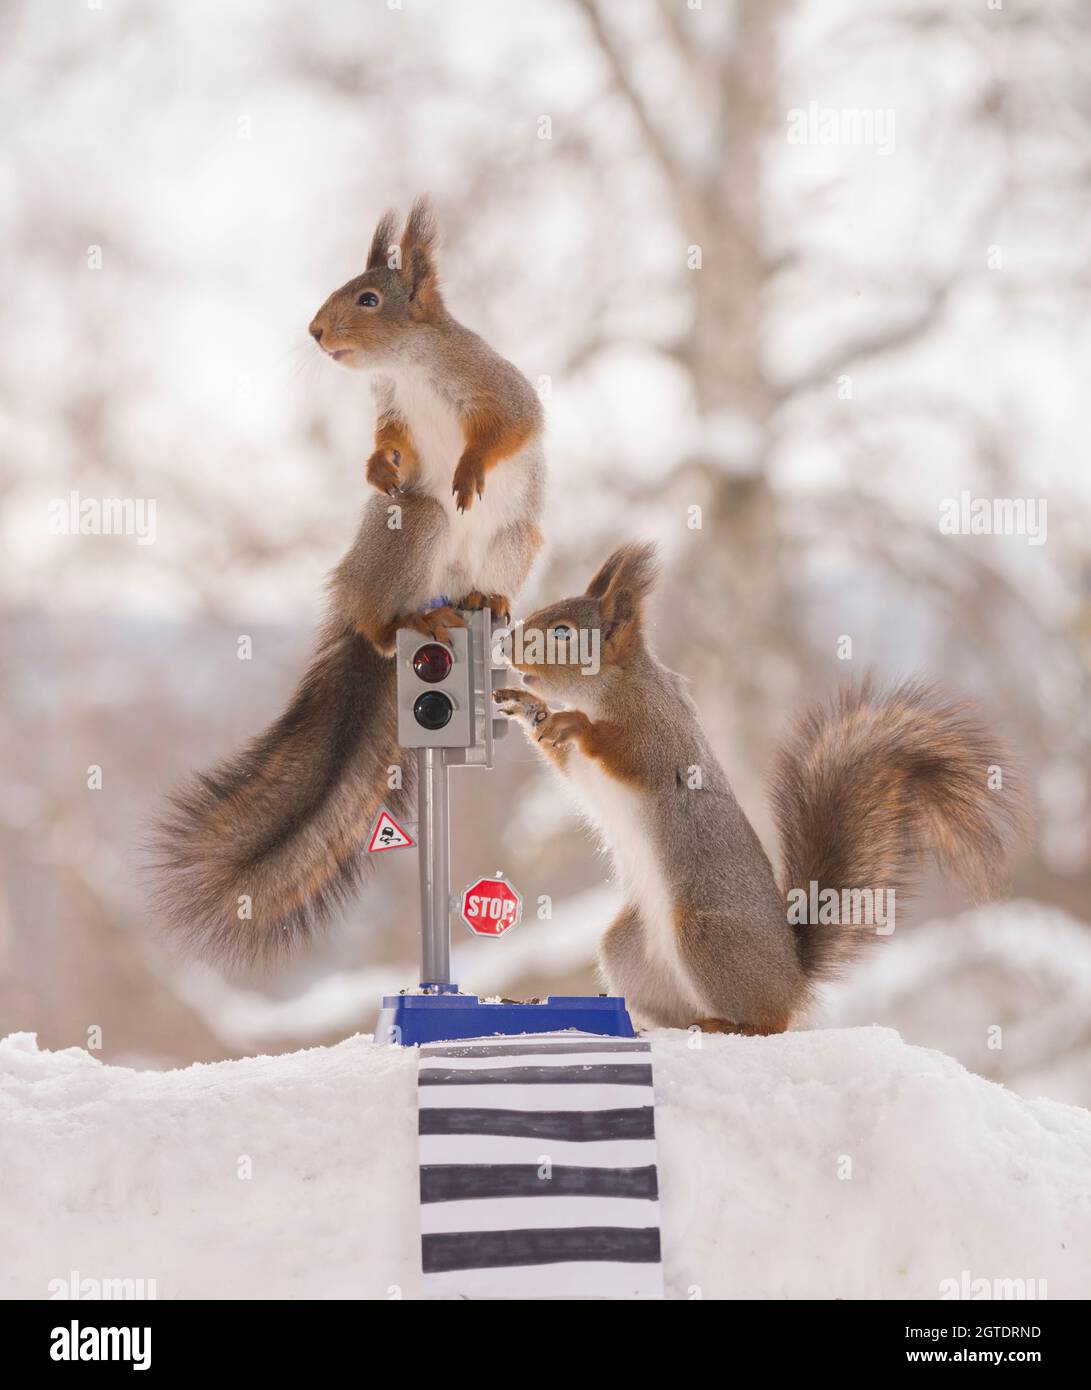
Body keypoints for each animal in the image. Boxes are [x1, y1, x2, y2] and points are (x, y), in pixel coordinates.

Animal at [154, 197, 545, 964]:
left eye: (368, 299)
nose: (314, 332)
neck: (413, 364)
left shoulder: (496, 385)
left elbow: (511, 426)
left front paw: (470, 468)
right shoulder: (392, 408)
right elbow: (389, 445)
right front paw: (375, 467)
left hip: (510, 541)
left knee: (474, 578)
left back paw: (484, 598)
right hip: (410, 528)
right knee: (383, 609)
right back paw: (399, 622)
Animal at [493, 541, 1024, 1034]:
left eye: (563, 633)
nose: (506, 644)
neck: (611, 688)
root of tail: (792, 978)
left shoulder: (664, 736)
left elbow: (635, 755)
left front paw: (573, 721)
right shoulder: (581, 768)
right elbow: (563, 761)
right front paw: (526, 705)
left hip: (705, 933)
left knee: (769, 1022)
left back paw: (731, 1024)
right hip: (628, 947)